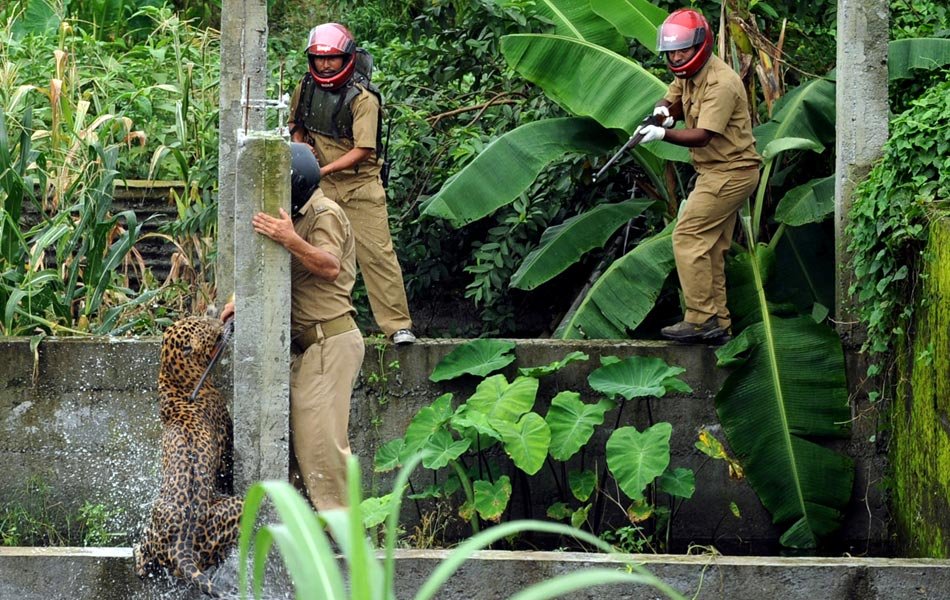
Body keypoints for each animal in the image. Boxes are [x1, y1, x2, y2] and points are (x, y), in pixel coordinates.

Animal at [133, 316, 243, 598]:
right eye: (209, 327)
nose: (228, 322)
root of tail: (179, 544)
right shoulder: (225, 443)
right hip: (236, 505)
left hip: (155, 521)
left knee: (143, 552)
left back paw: (139, 562)